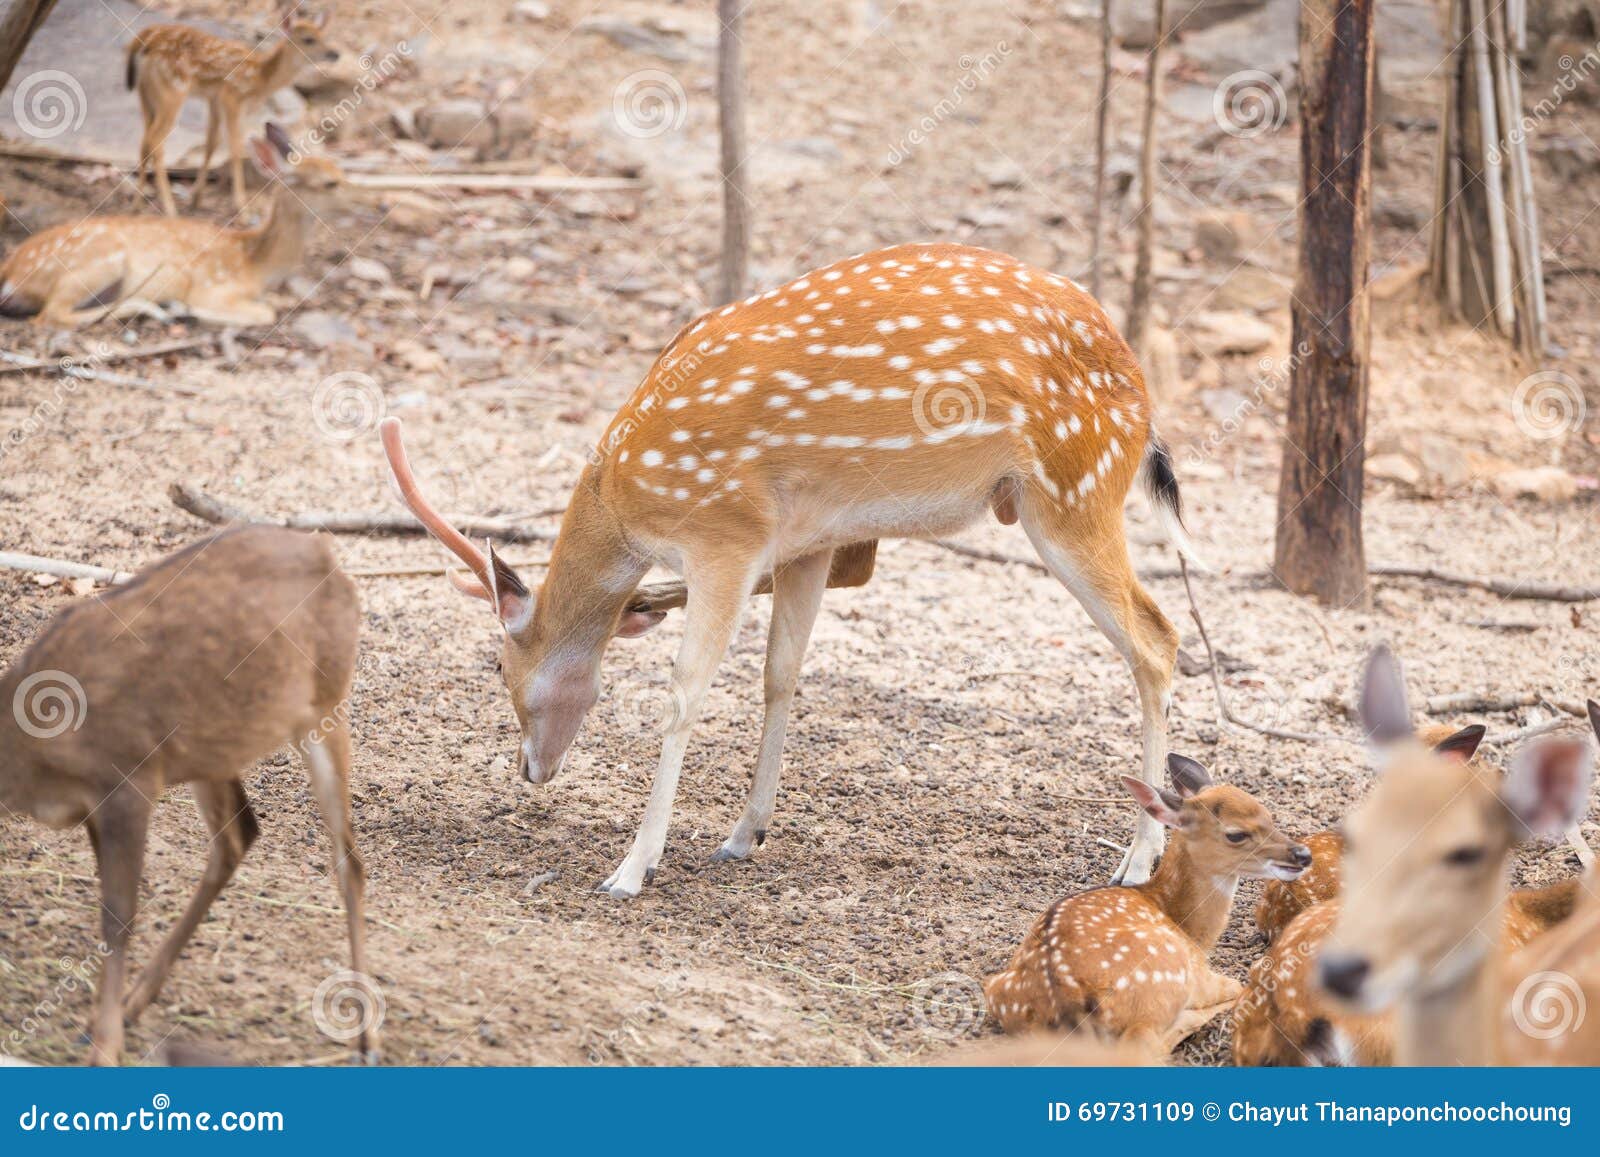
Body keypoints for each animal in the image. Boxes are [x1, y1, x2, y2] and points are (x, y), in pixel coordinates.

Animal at [0, 124, 341, 328]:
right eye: (330, 183)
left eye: (336, 169)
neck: (256, 266)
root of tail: (10, 268)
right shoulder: (213, 287)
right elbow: (265, 312)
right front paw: (186, 309)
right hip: (97, 261)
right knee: (50, 315)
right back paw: (161, 309)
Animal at [0, 526, 373, 1066]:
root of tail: (329, 556)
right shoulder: (96, 805)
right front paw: (100, 1024)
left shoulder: (128, 782)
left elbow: (118, 915)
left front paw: (105, 1045)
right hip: (210, 746)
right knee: (239, 834)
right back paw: (137, 999)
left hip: (325, 705)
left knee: (348, 863)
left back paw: (368, 1038)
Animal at [126, 9, 337, 216]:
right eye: (309, 39)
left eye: (324, 35)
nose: (334, 53)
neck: (259, 77)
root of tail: (144, 41)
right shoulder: (232, 96)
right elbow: (236, 148)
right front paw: (241, 209)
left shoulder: (214, 99)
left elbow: (212, 143)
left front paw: (196, 199)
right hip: (172, 90)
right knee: (156, 140)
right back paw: (170, 209)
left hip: (146, 93)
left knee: (144, 140)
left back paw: (137, 205)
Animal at [380, 242, 1202, 898]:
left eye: (498, 664)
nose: (530, 771)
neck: (624, 498)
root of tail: (1140, 389)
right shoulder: (808, 541)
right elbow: (780, 674)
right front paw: (746, 831)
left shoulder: (726, 535)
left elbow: (684, 694)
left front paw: (631, 868)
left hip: (1073, 491)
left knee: (1157, 638)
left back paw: (1139, 857)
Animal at [983, 754, 1310, 1054]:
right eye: (1236, 834)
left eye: (1269, 815)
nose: (1302, 854)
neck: (1189, 929)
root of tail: (1066, 997)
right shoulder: (1202, 975)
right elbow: (1236, 984)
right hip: (1163, 977)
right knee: (1142, 1044)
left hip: (997, 991)